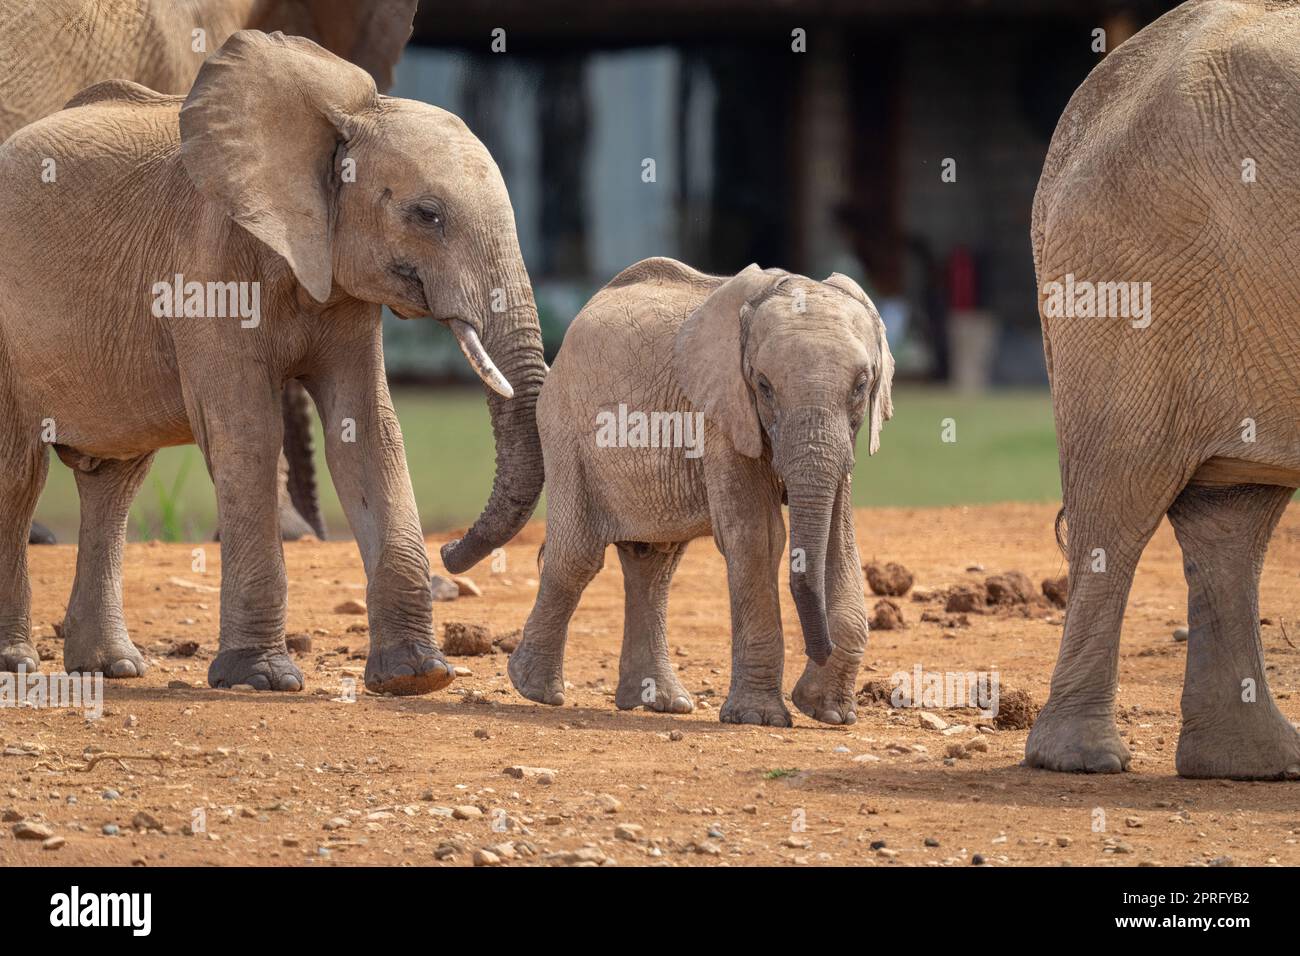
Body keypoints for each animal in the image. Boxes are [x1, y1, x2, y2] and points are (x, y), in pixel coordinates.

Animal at [509, 257, 894, 726]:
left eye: (861, 385)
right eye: (763, 386)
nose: (819, 650)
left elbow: (840, 541)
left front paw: (831, 714)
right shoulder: (721, 413)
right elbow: (759, 537)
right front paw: (758, 718)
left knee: (654, 564)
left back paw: (659, 703)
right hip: (564, 426)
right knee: (576, 556)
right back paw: (536, 690)